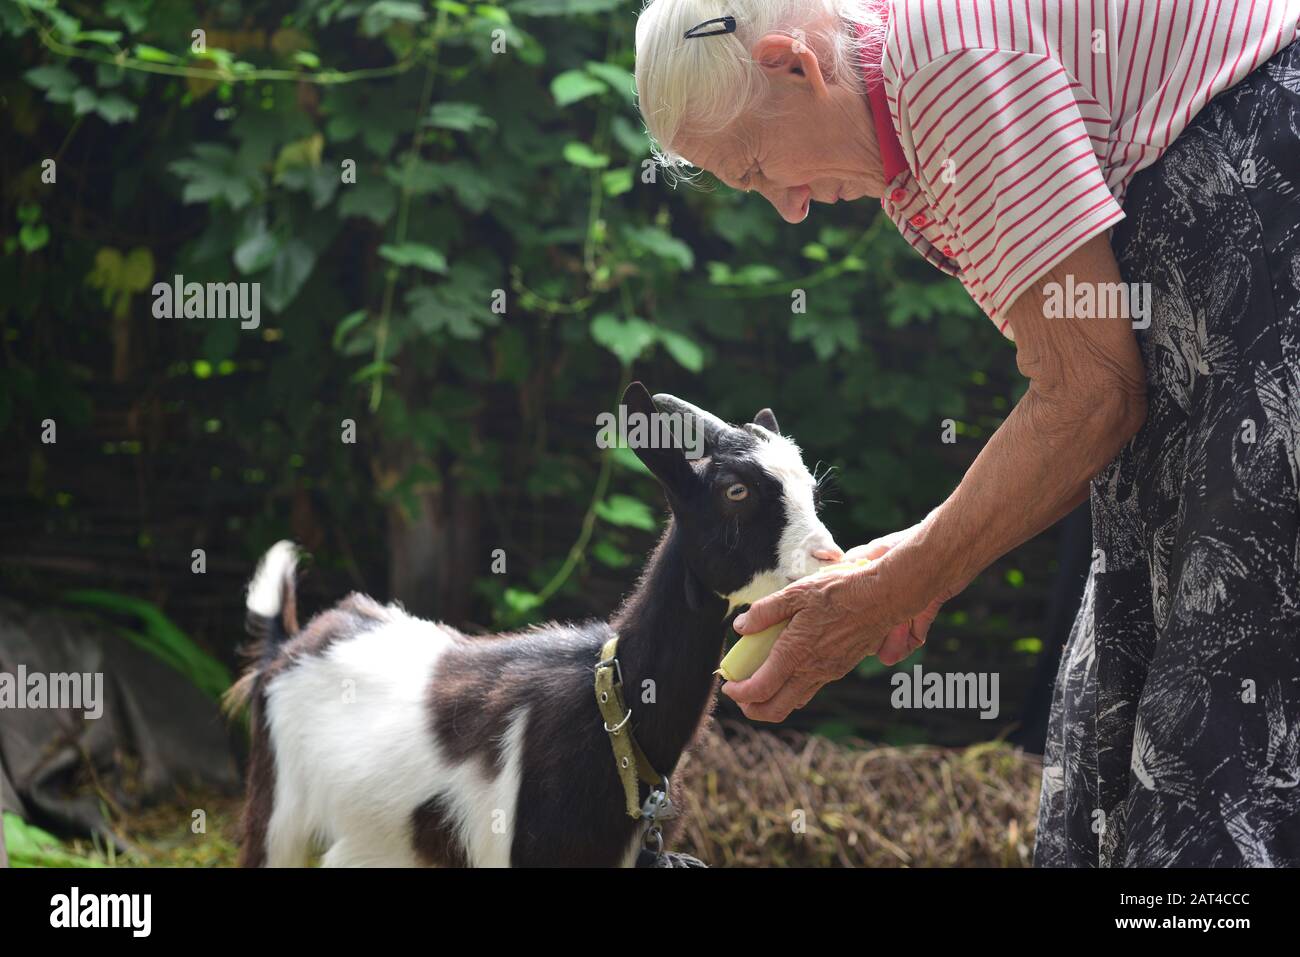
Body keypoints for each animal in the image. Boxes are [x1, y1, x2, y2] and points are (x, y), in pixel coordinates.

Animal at [228, 382, 841, 867]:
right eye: (735, 491)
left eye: (810, 490)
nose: (830, 557)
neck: (608, 710)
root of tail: (292, 641)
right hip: (277, 811)